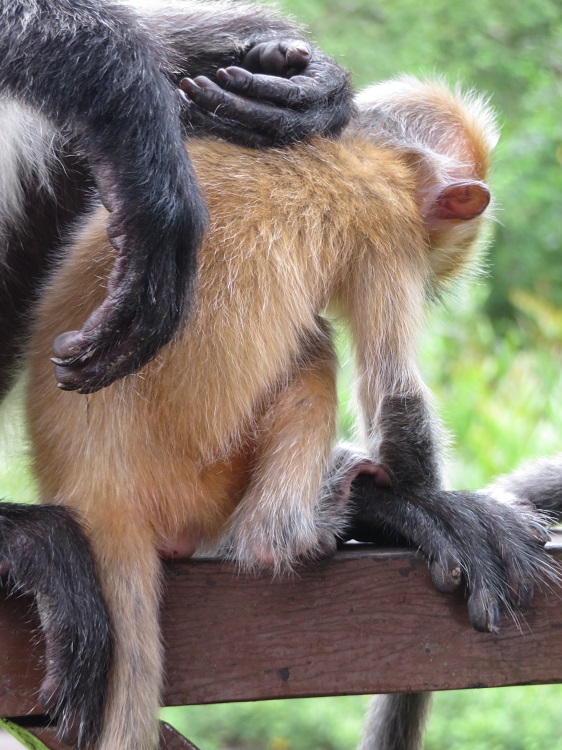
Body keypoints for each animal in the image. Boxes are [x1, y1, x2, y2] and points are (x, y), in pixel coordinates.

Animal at [20, 74, 558, 750]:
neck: (364, 146)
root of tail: (95, 487)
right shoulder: (389, 226)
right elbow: (394, 393)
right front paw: (432, 505)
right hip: (196, 483)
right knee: (312, 351)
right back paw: (289, 534)